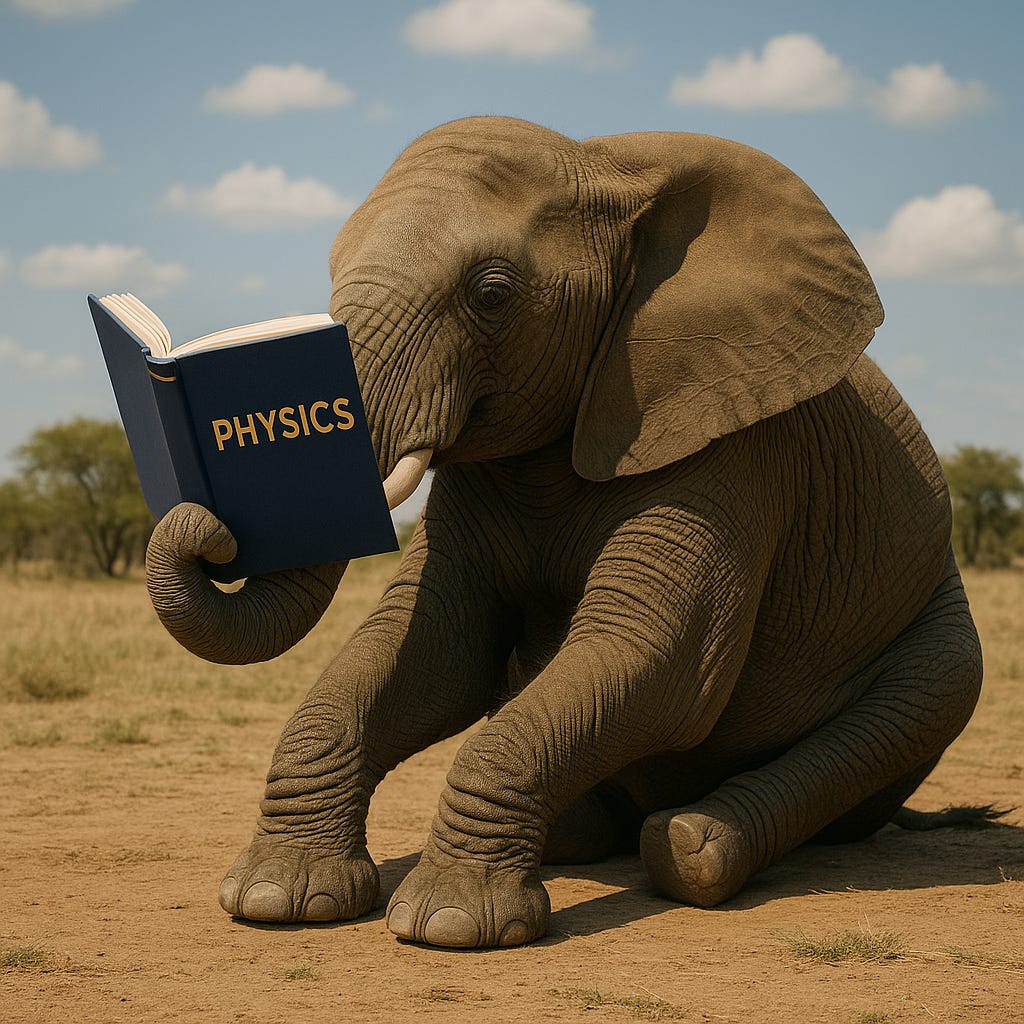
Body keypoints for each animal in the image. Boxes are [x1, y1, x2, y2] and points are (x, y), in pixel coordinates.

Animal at [144, 116, 983, 949]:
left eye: (491, 294)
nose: (207, 523)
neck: (610, 164)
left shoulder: (732, 437)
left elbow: (662, 659)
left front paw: (451, 921)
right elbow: (431, 650)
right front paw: (279, 898)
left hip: (939, 652)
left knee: (905, 713)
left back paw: (691, 845)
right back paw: (577, 836)